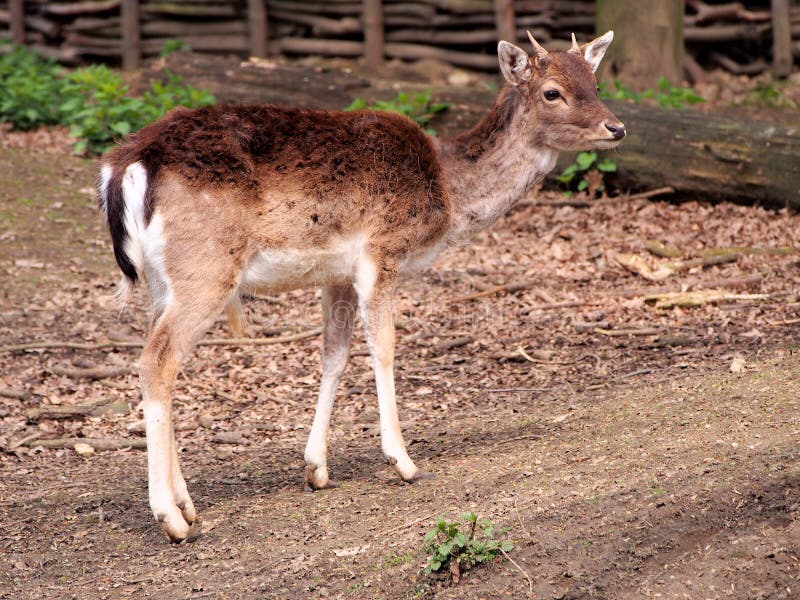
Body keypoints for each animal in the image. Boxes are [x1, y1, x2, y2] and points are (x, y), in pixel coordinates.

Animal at [99, 31, 625, 542]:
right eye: (552, 92)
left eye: (595, 83)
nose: (616, 127)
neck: (449, 192)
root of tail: (122, 167)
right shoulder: (382, 250)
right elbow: (385, 346)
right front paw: (403, 461)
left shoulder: (337, 274)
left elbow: (334, 354)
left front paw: (316, 468)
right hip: (204, 267)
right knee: (155, 360)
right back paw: (171, 518)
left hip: (164, 280)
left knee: (161, 360)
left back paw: (187, 504)